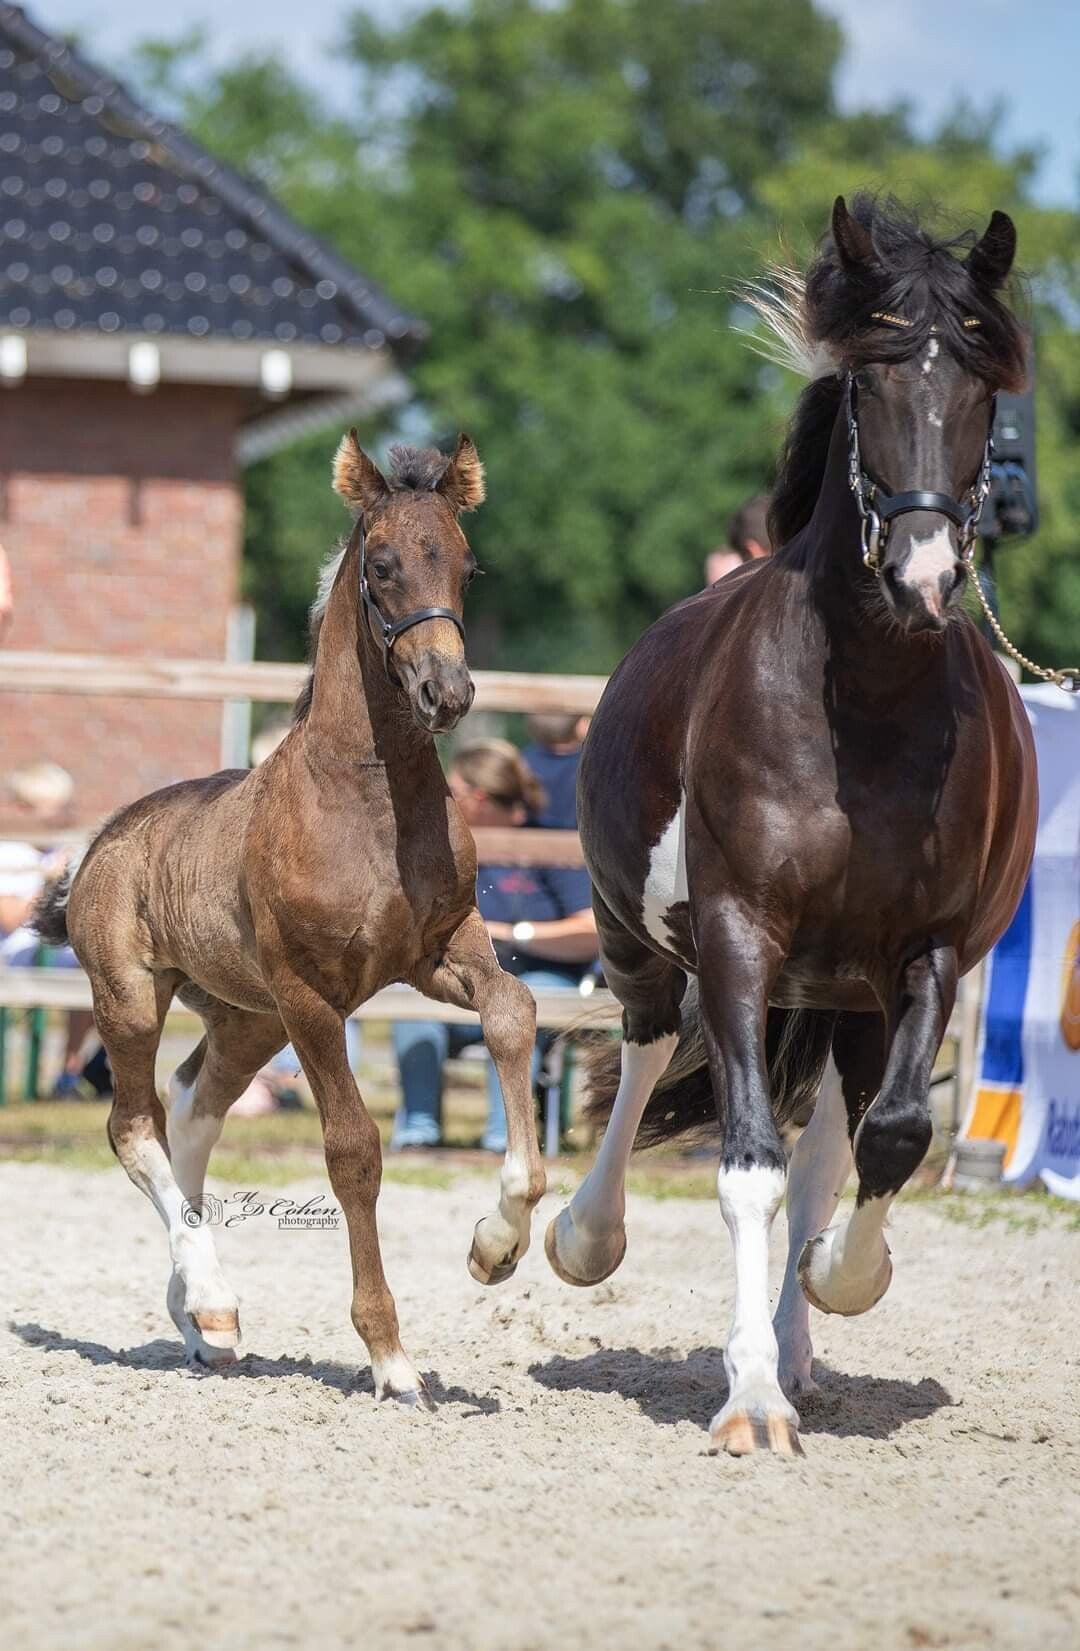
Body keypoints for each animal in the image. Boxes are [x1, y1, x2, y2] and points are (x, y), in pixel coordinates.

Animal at [35, 432, 546, 1406]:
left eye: (466, 565)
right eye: (382, 565)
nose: (447, 691)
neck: (367, 800)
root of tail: (98, 844)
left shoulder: (437, 951)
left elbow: (514, 1011)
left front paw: (496, 1243)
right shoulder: (313, 994)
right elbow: (353, 1149)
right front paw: (391, 1358)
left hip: (247, 1017)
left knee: (192, 1108)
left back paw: (200, 1321)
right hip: (135, 999)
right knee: (134, 1126)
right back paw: (214, 1303)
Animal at [544, 195, 1037, 1457]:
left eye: (985, 393)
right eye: (868, 388)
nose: (923, 574)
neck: (862, 706)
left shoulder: (927, 953)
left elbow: (894, 1137)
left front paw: (831, 1282)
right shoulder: (737, 934)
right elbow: (747, 1166)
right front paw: (752, 1402)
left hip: (845, 994)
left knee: (837, 1136)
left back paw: (804, 1330)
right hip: (639, 937)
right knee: (645, 1050)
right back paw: (577, 1237)